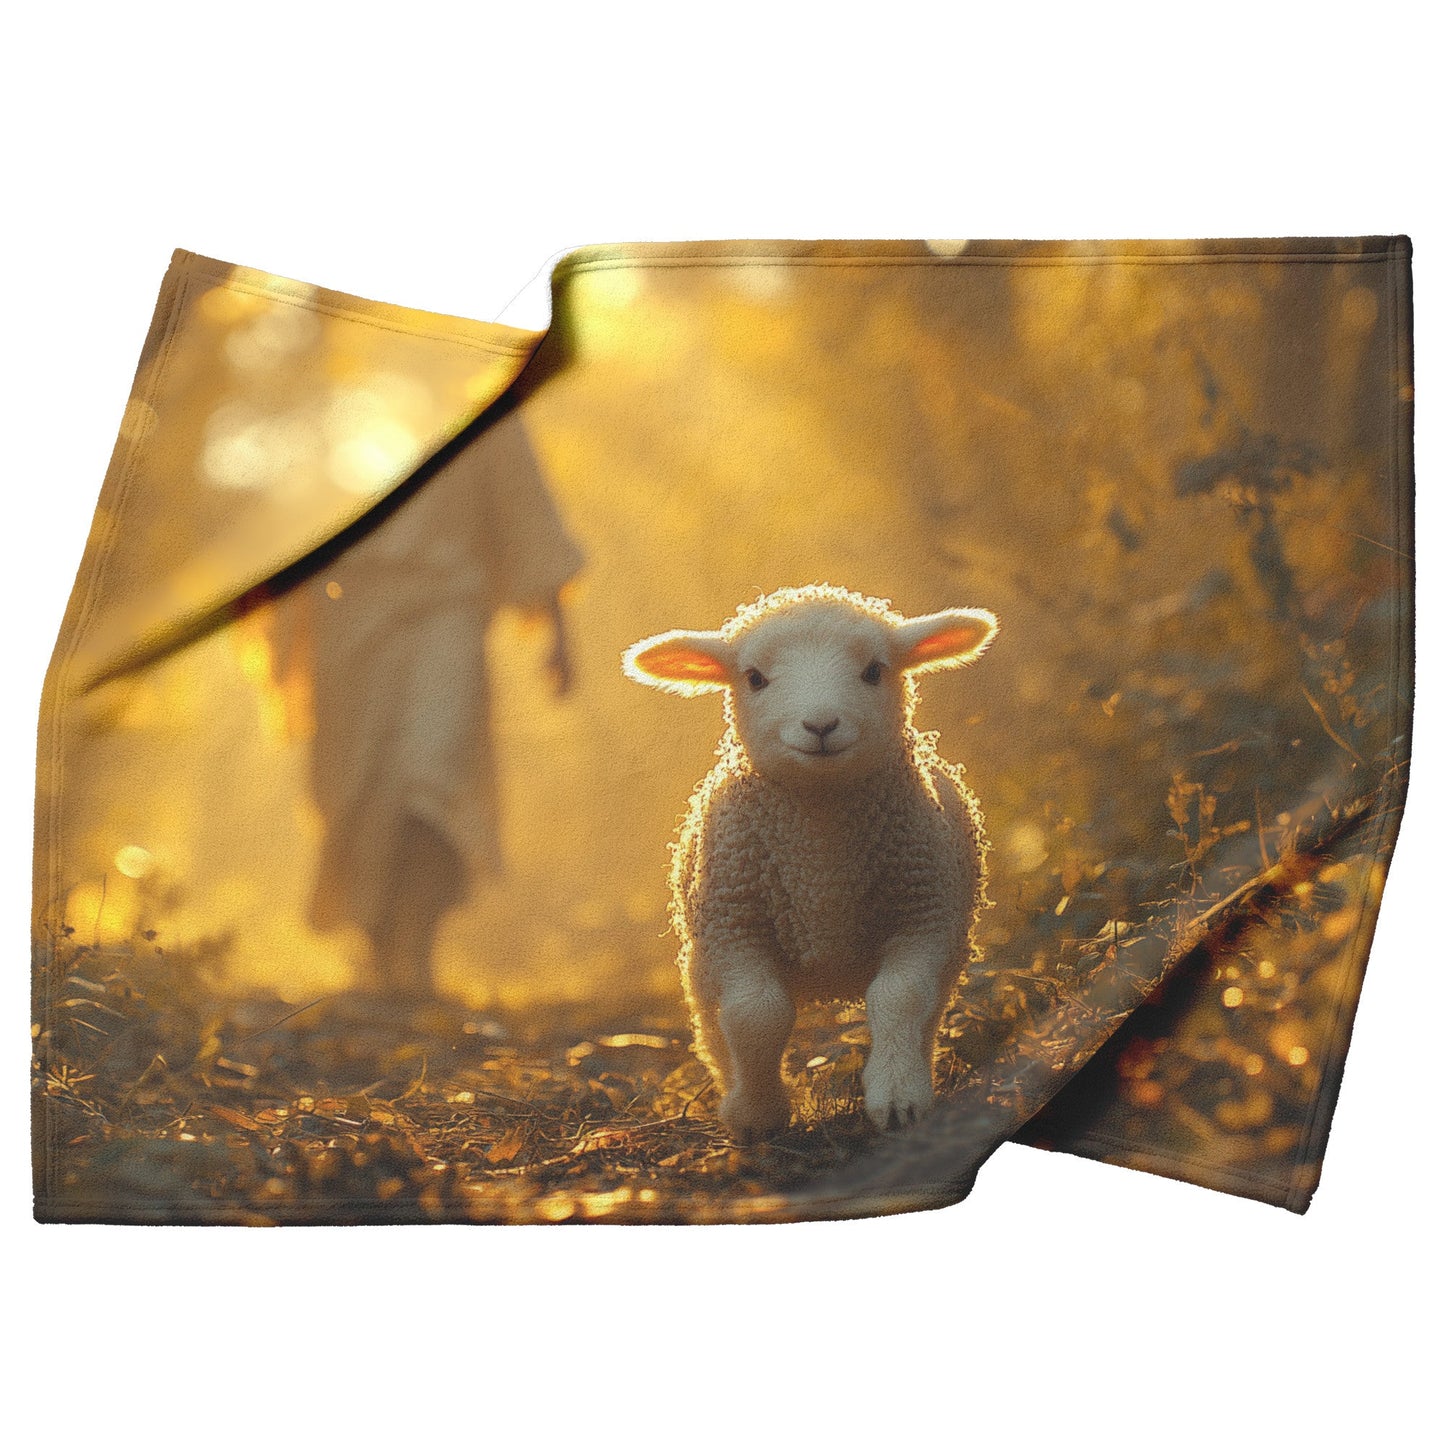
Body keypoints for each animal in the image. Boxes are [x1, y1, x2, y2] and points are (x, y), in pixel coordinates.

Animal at [622, 583, 998, 1142]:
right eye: (755, 677)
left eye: (874, 670)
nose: (821, 724)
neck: (821, 858)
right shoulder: (733, 930)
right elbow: (754, 1016)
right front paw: (756, 1114)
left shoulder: (925, 919)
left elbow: (900, 996)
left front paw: (897, 1096)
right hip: (702, 958)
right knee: (714, 1026)